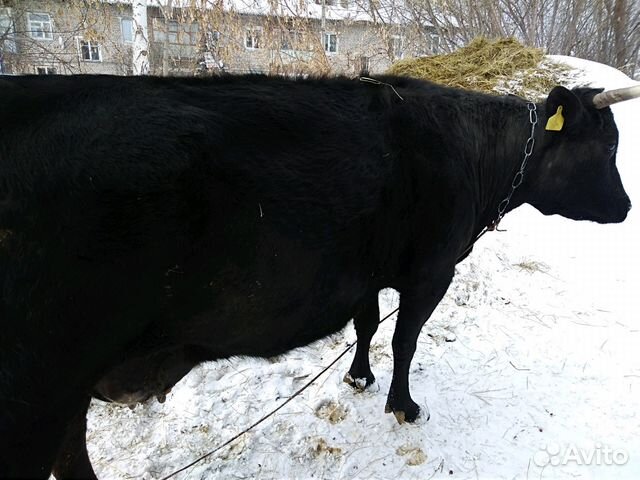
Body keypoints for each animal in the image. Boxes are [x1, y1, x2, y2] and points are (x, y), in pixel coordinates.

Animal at [0, 74, 635, 479]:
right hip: (36, 395)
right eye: (608, 148)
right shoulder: (432, 271)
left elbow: (367, 323)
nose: (627, 208)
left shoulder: (365, 271)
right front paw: (403, 405)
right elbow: (404, 339)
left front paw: (357, 377)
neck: (473, 155)